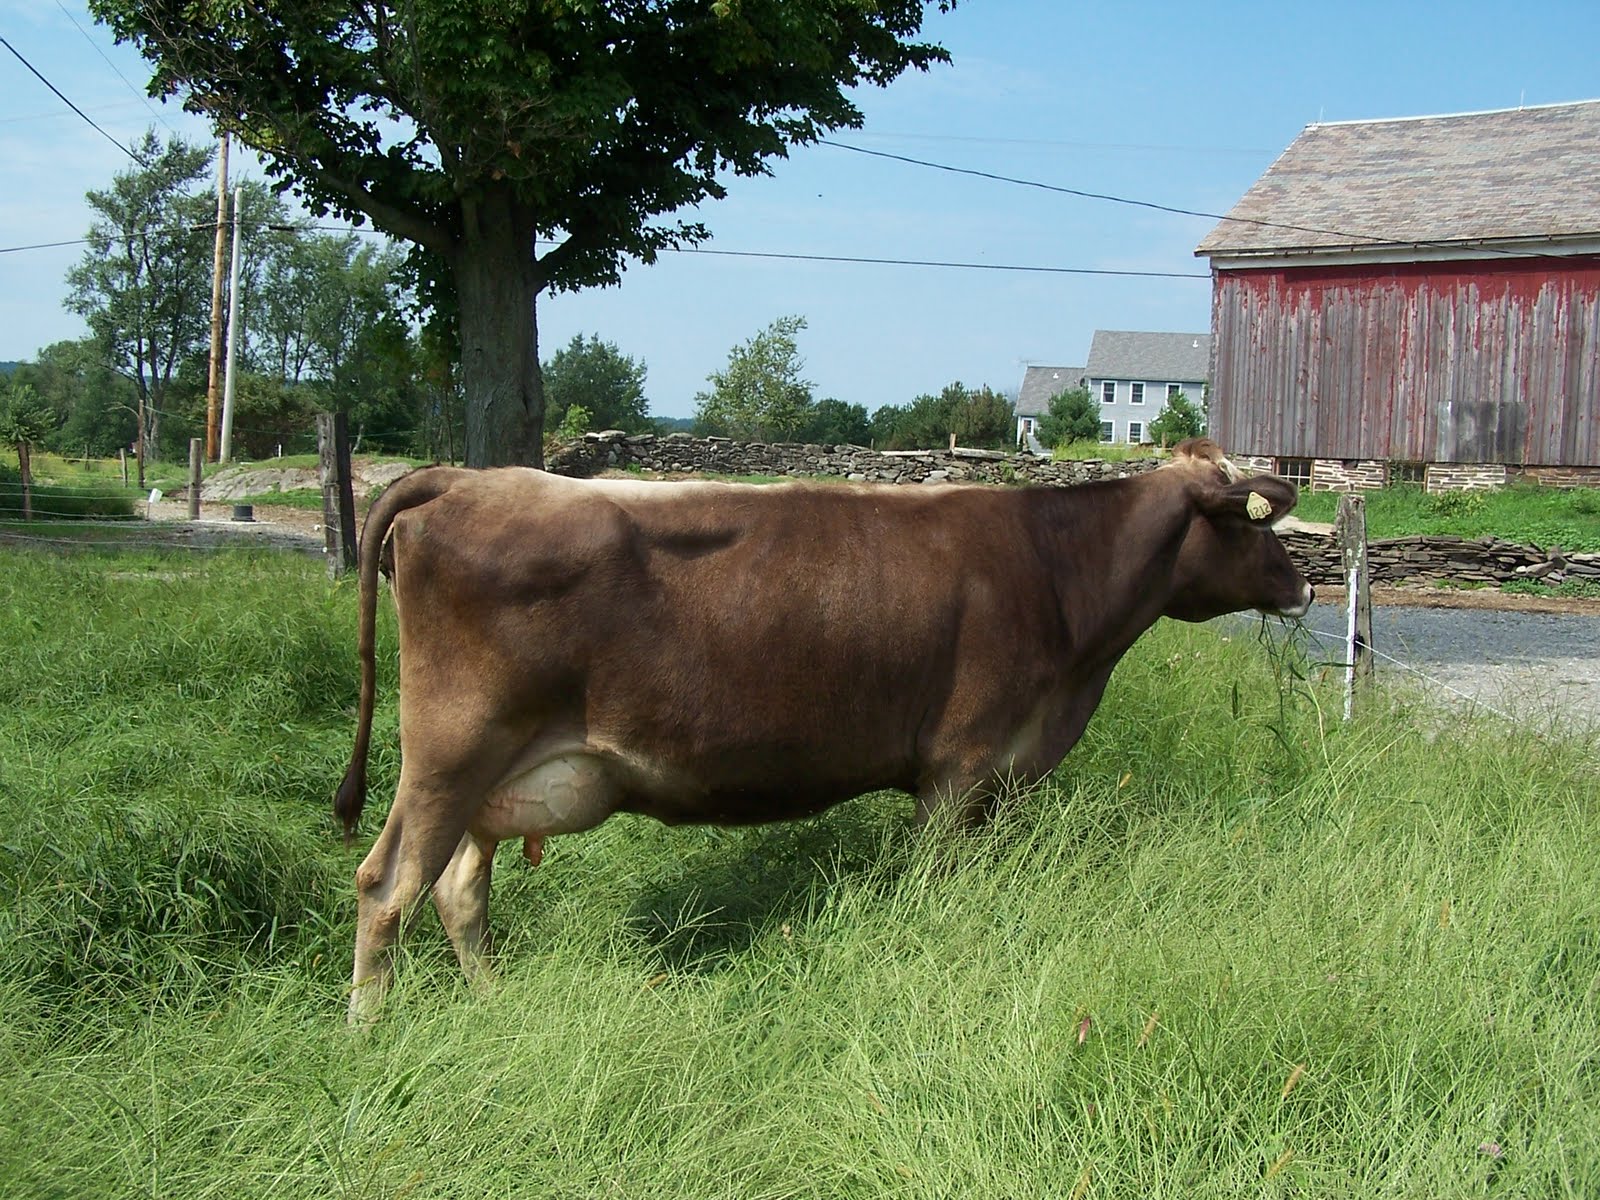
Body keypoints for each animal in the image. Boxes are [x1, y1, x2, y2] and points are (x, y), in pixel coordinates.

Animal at [335, 438, 1311, 1018]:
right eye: (1259, 526)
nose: (1304, 585)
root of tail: (468, 478)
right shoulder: (961, 767)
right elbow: (937, 889)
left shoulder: (998, 777)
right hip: (451, 751)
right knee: (388, 887)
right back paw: (371, 1033)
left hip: (496, 778)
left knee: (458, 890)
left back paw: (492, 1003)